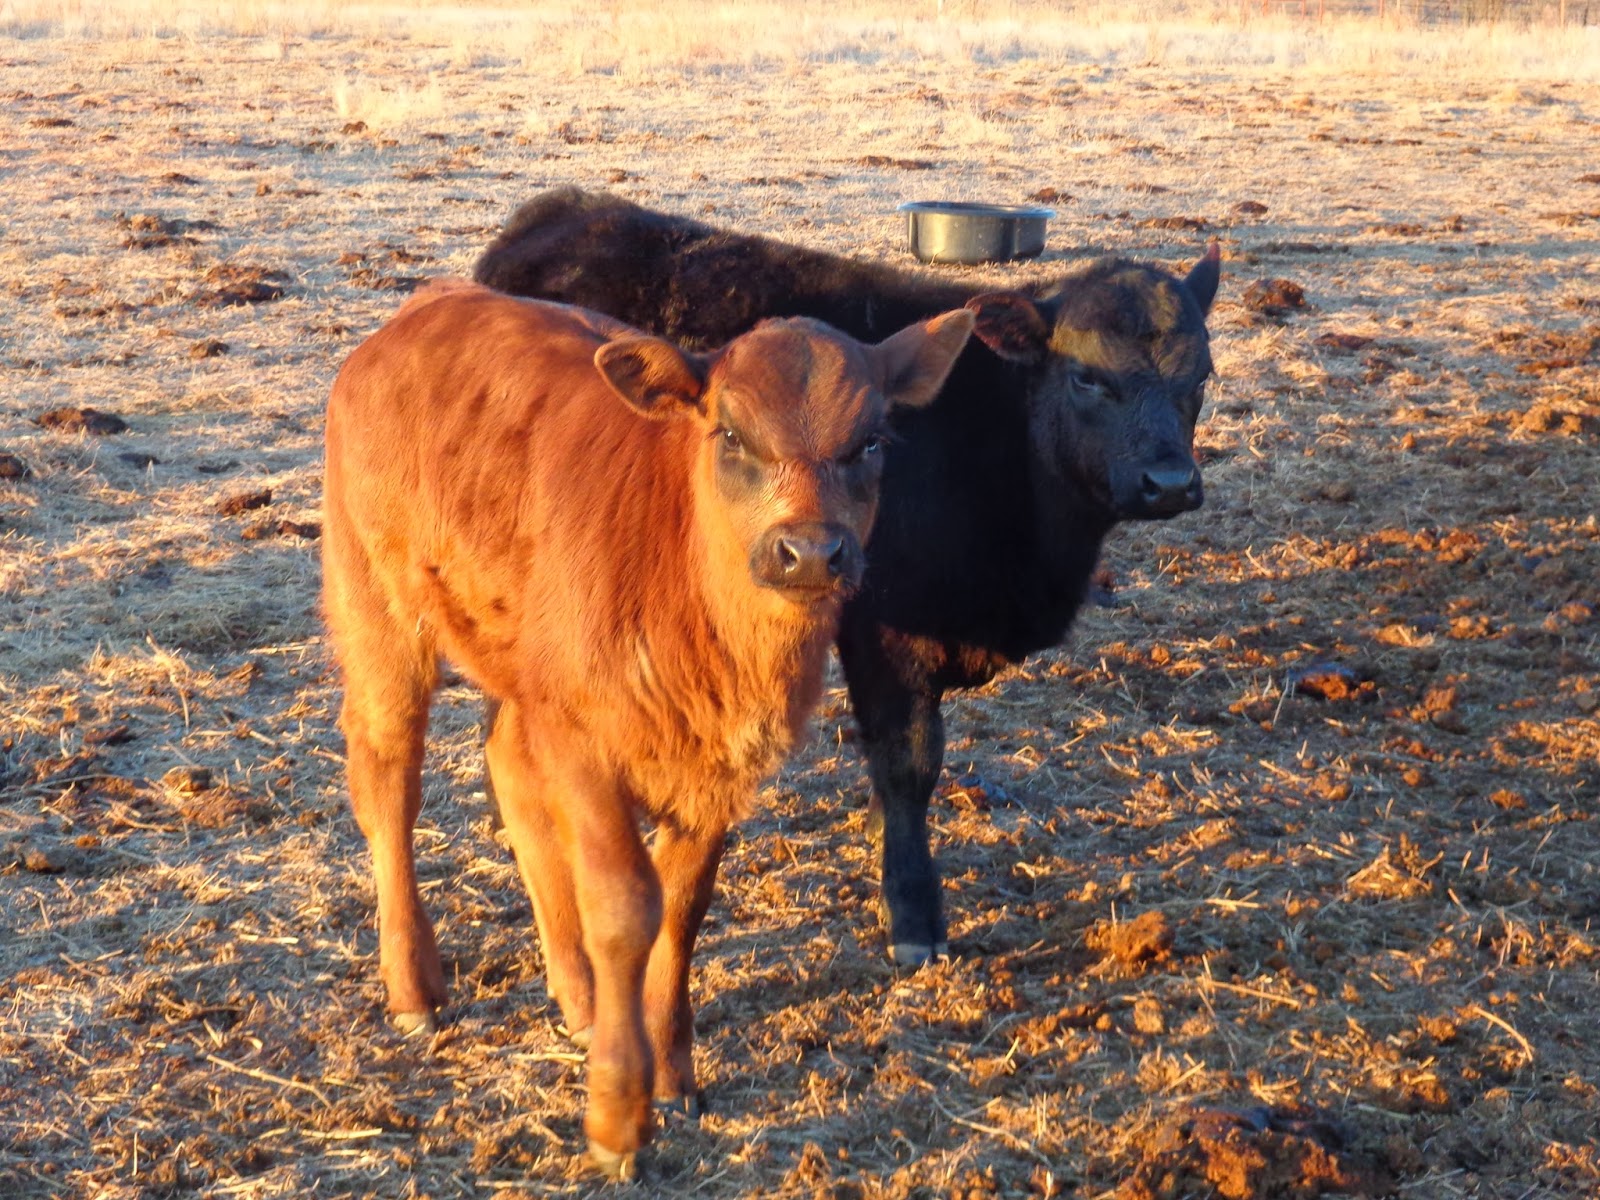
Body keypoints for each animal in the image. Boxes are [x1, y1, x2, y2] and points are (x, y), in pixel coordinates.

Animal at [322, 279, 973, 1176]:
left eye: (870, 441)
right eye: (730, 433)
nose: (809, 553)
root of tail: (425, 307)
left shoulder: (717, 769)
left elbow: (682, 908)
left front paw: (668, 1072)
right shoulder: (588, 749)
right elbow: (628, 905)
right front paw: (617, 1116)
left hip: (524, 676)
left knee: (510, 769)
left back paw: (580, 997)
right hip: (380, 617)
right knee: (389, 782)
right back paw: (415, 988)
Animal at [473, 188, 1222, 968]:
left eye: (1201, 378)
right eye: (1087, 378)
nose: (1170, 483)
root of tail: (557, 214)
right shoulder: (886, 630)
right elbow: (909, 760)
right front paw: (913, 910)